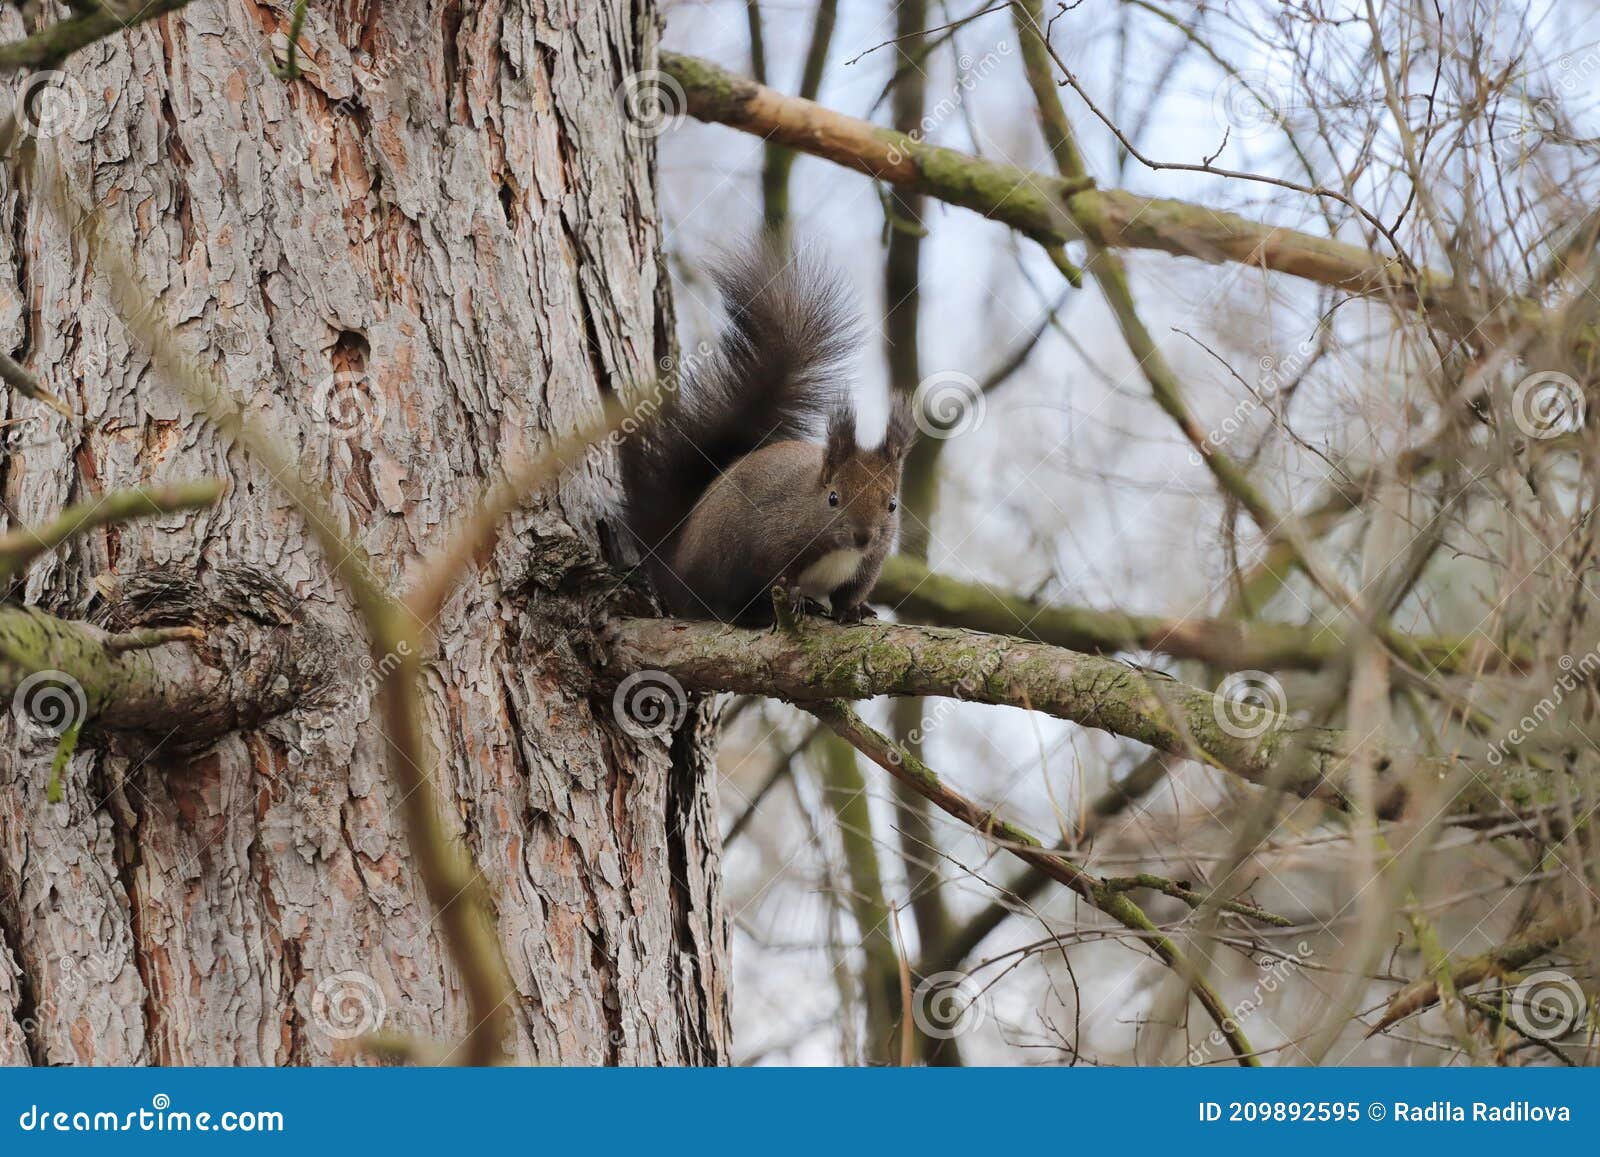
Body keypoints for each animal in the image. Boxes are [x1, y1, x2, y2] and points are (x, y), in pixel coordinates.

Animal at [619, 241, 916, 625]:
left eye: (892, 504)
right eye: (833, 498)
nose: (863, 537)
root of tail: (676, 569)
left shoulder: (868, 564)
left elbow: (849, 592)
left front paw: (853, 609)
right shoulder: (774, 539)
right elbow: (776, 573)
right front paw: (796, 600)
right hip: (720, 556)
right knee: (716, 603)